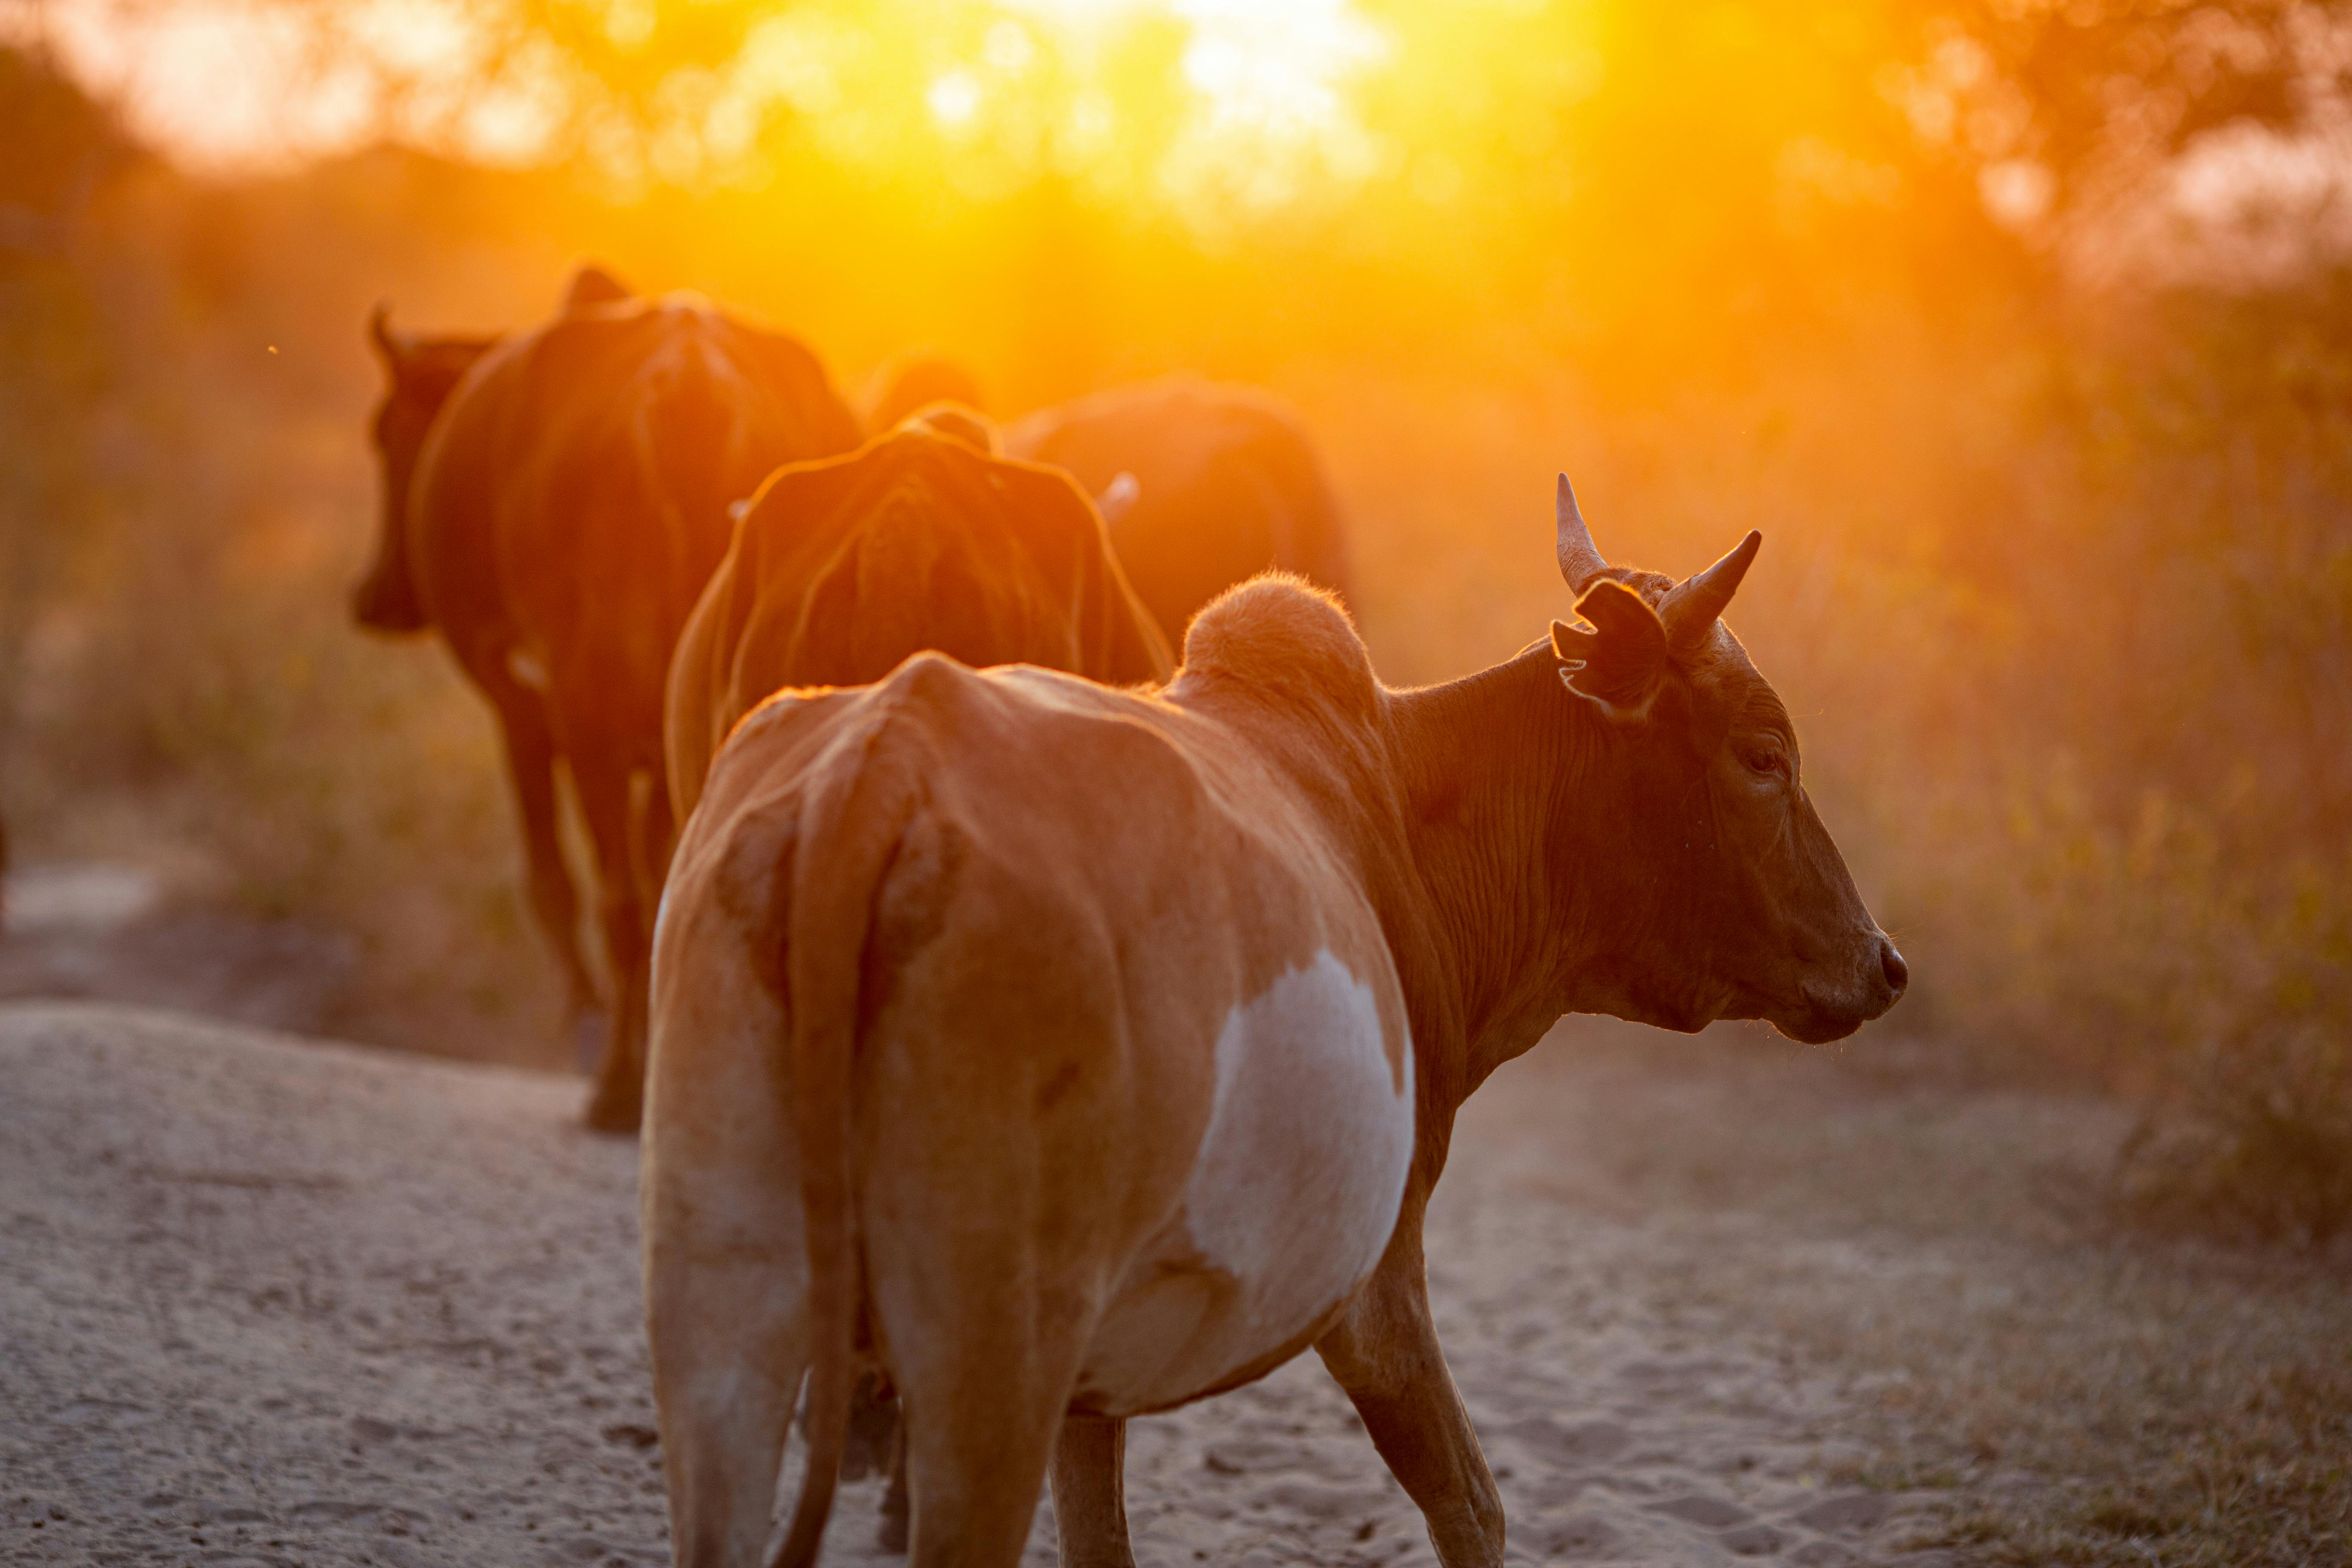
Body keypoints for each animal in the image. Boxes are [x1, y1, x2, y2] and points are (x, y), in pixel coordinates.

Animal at [356, 267, 864, 1133]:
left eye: (387, 434)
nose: (377, 596)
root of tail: (690, 379)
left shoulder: (523, 707)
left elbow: (554, 882)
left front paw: (592, 1027)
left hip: (588, 714)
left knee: (620, 902)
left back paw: (620, 1088)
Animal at [641, 474, 1907, 1567]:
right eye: (1763, 757)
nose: (1883, 964)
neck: (1398, 803)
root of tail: (889, 759)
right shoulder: (1378, 1284)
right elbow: (1475, 1506)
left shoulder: (1089, 1386)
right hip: (985, 1359)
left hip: (724, 1322)